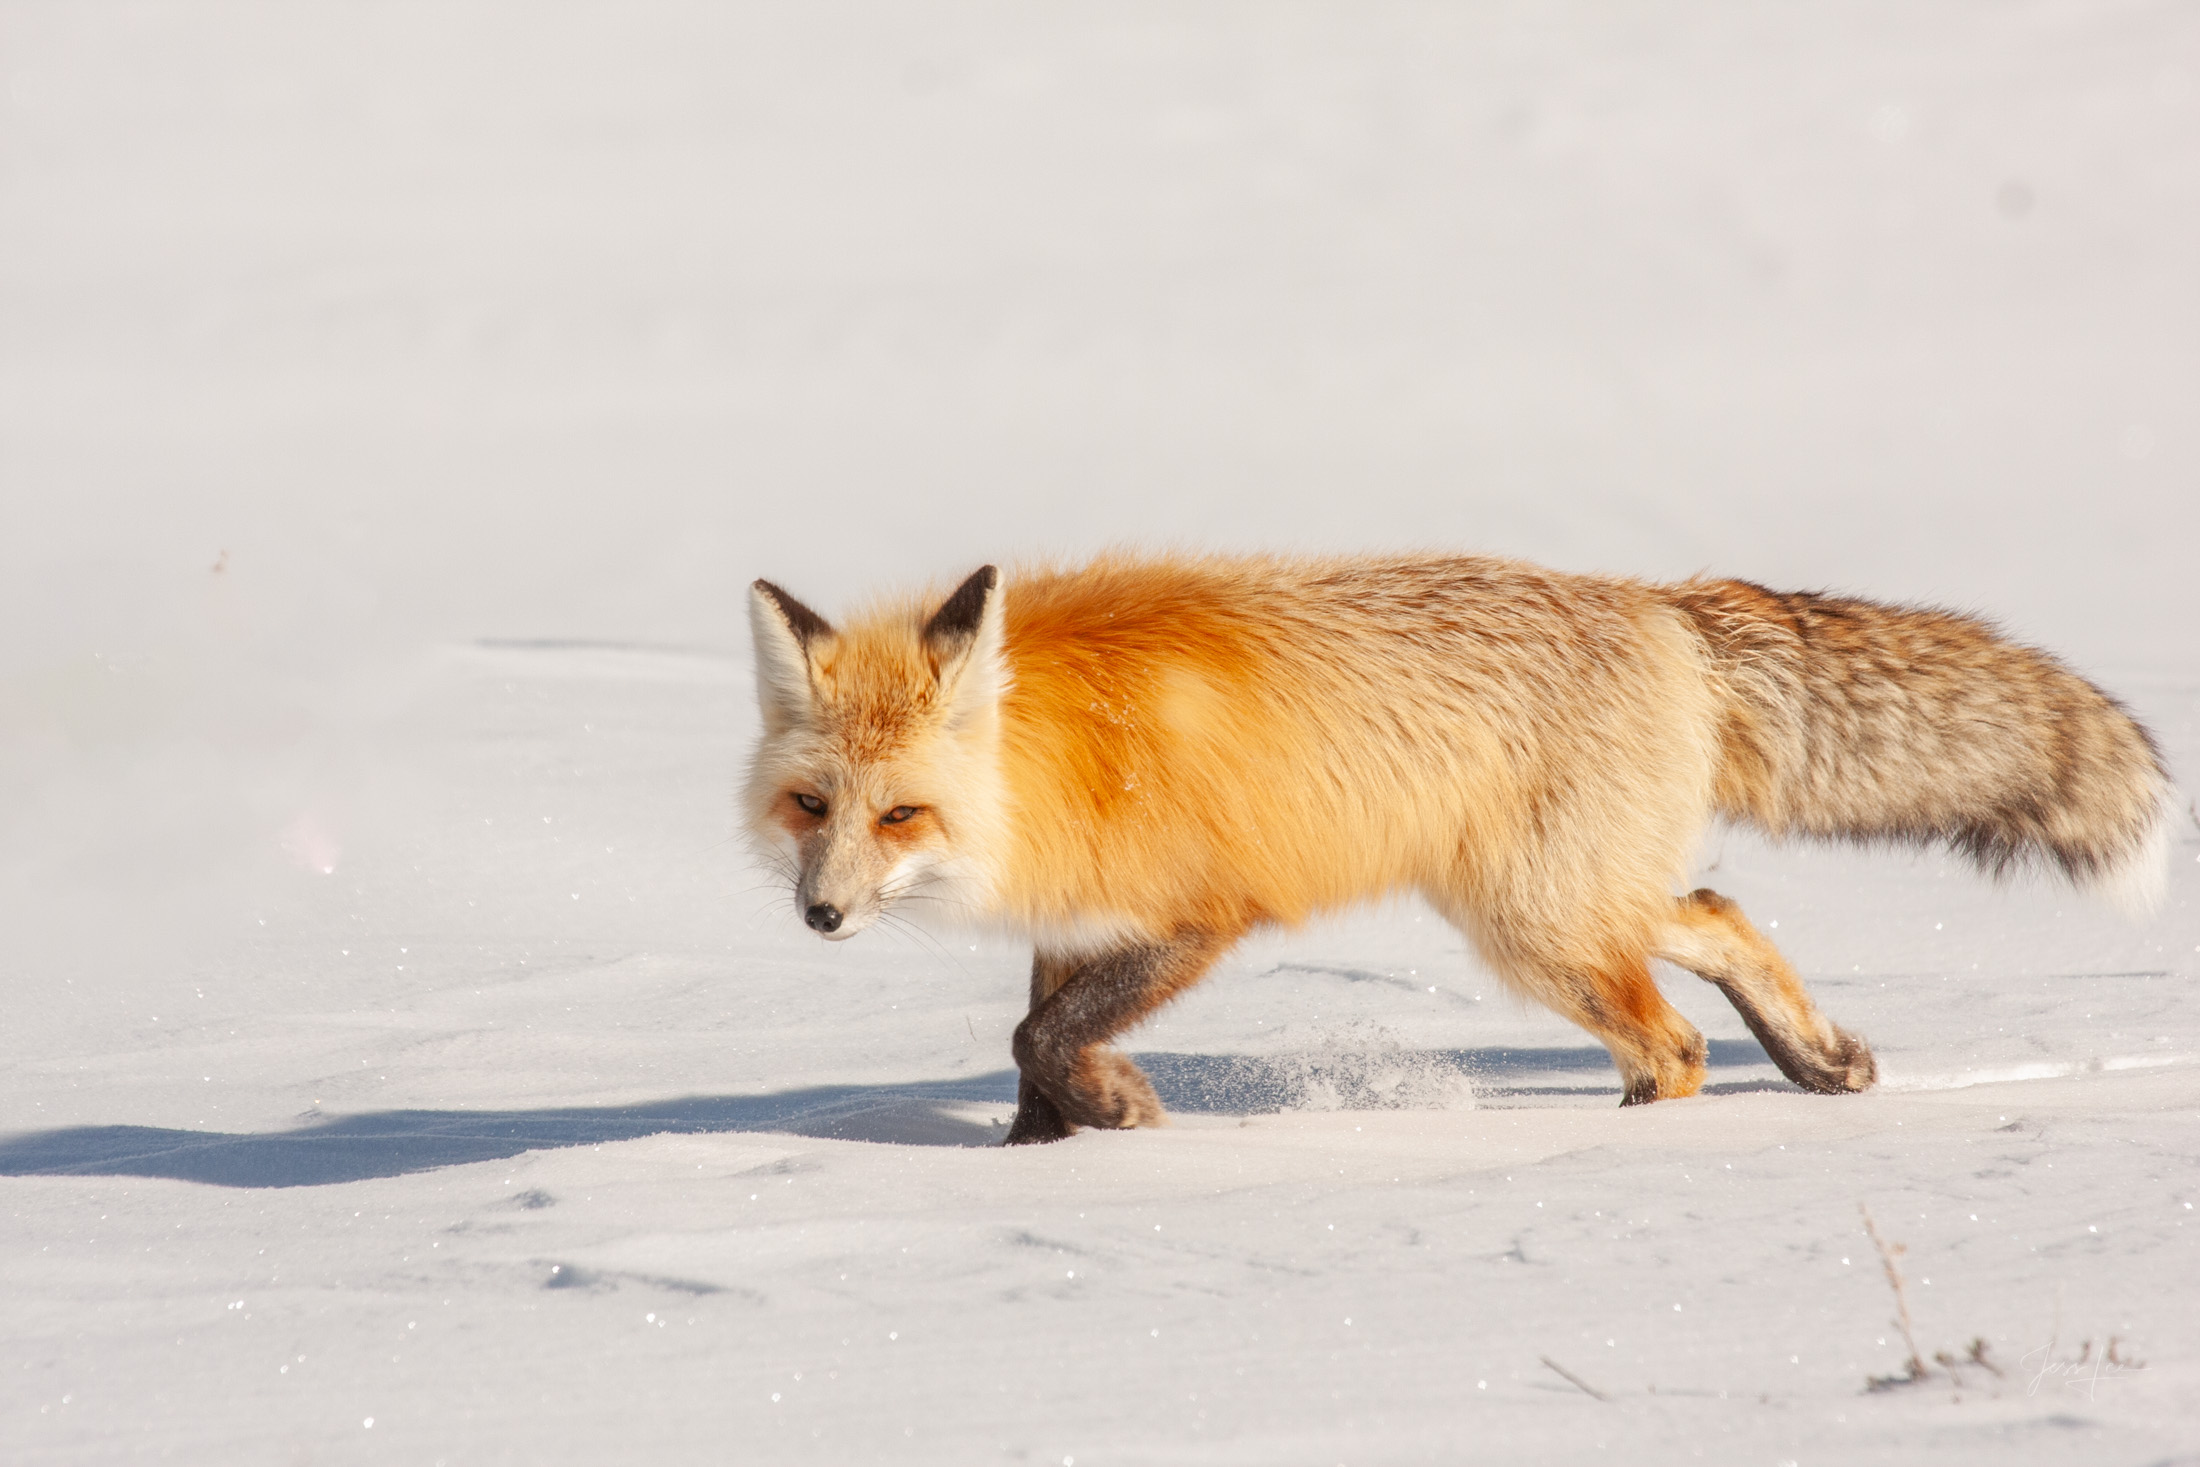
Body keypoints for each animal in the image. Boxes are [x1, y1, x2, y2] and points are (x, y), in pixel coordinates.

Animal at [744, 553, 2170, 1144]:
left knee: (1673, 1044)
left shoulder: (1198, 915)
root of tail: (1662, 606)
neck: (1059, 764)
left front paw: (1121, 1117)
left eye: (900, 815)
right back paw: (1819, 1062)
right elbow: (1034, 1061)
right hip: (1563, 899)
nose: (819, 919)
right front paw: (1040, 1168)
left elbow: (1040, 1041)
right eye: (813, 807)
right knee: (1712, 911)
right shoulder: (1076, 927)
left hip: (1533, 924)